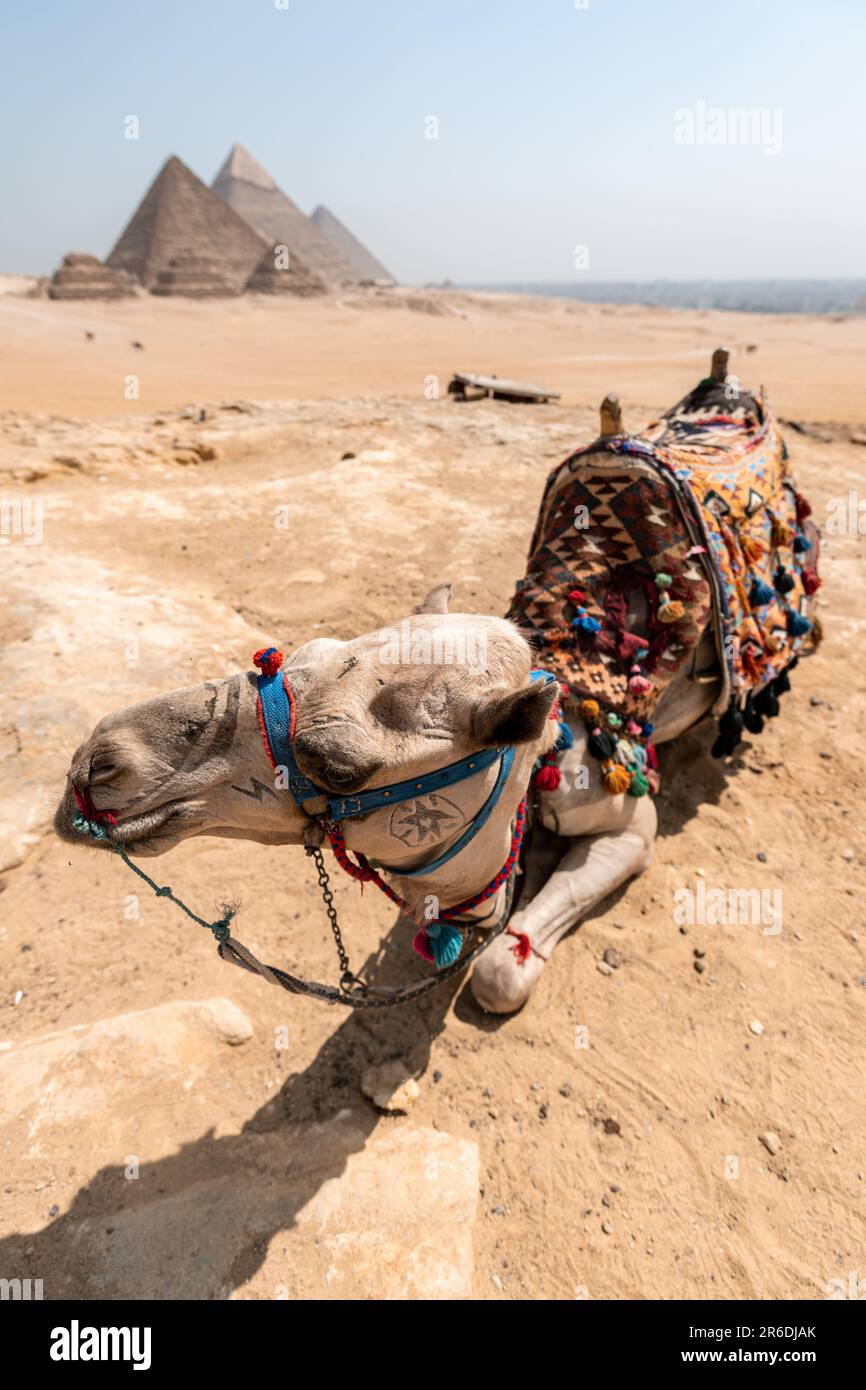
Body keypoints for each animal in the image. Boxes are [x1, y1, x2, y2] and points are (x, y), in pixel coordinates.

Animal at [55, 352, 818, 1014]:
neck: (557, 729)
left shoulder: (629, 823)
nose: (98, 761)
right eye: (299, 652)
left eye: (337, 765)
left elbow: (497, 974)